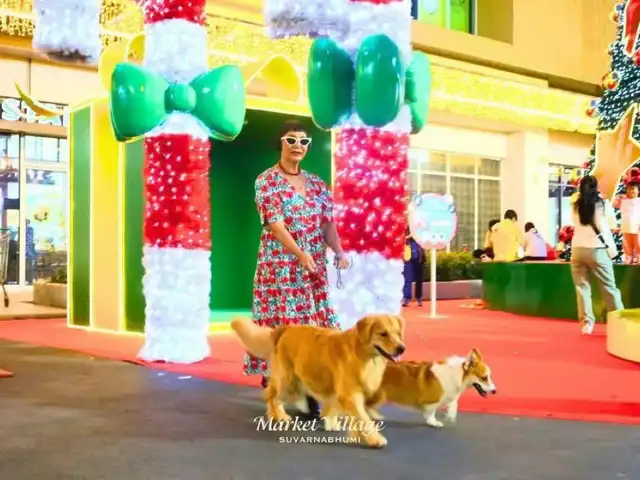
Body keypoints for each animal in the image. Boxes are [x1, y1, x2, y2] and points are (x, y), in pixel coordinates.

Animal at [231, 314, 406, 448]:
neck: (363, 354)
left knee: (270, 393)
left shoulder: (338, 389)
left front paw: (338, 427)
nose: (401, 348)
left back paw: (274, 414)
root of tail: (286, 328)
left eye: (398, 333)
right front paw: (375, 439)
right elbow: (364, 418)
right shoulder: (349, 393)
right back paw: (280, 416)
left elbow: (343, 412)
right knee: (274, 396)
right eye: (383, 334)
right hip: (288, 379)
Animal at [365, 348, 496, 428]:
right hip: (380, 396)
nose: (495, 391)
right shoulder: (431, 402)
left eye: (489, 376)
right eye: (484, 377)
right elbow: (431, 413)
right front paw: (434, 422)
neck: (456, 375)